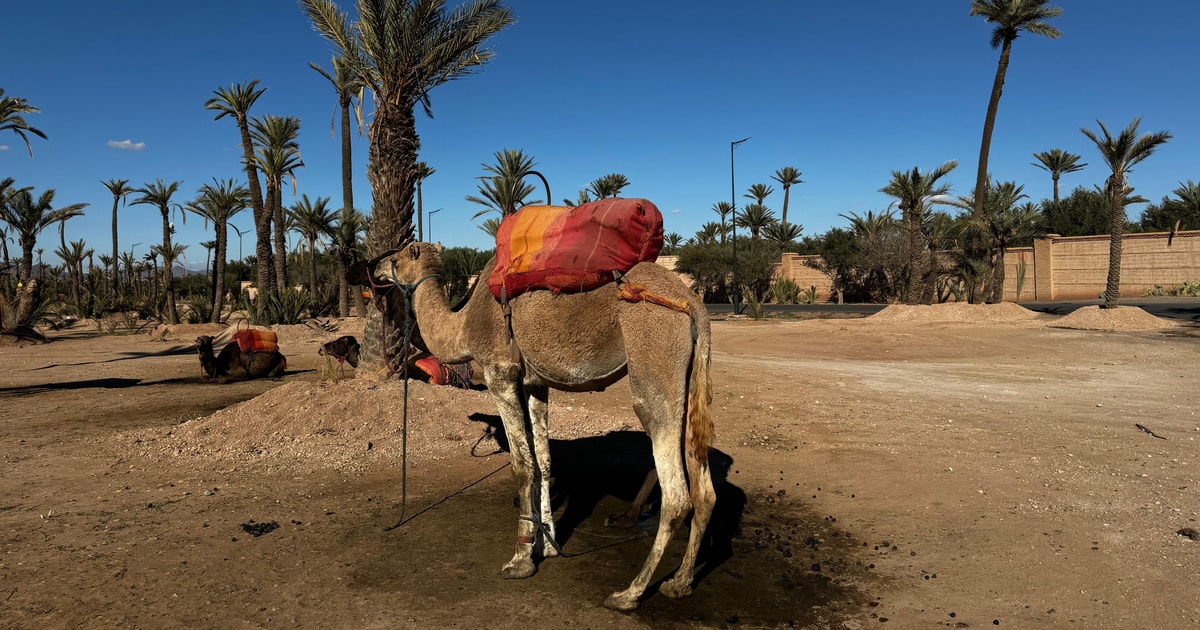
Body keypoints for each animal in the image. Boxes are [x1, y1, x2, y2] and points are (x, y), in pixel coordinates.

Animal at [373, 243, 715, 611]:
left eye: (397, 258)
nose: (374, 267)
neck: (463, 325)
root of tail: (693, 302)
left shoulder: (500, 373)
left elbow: (522, 466)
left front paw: (520, 558)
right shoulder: (536, 384)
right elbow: (544, 462)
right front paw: (547, 546)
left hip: (654, 362)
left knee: (677, 495)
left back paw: (629, 593)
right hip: (692, 376)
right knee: (704, 490)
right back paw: (679, 584)